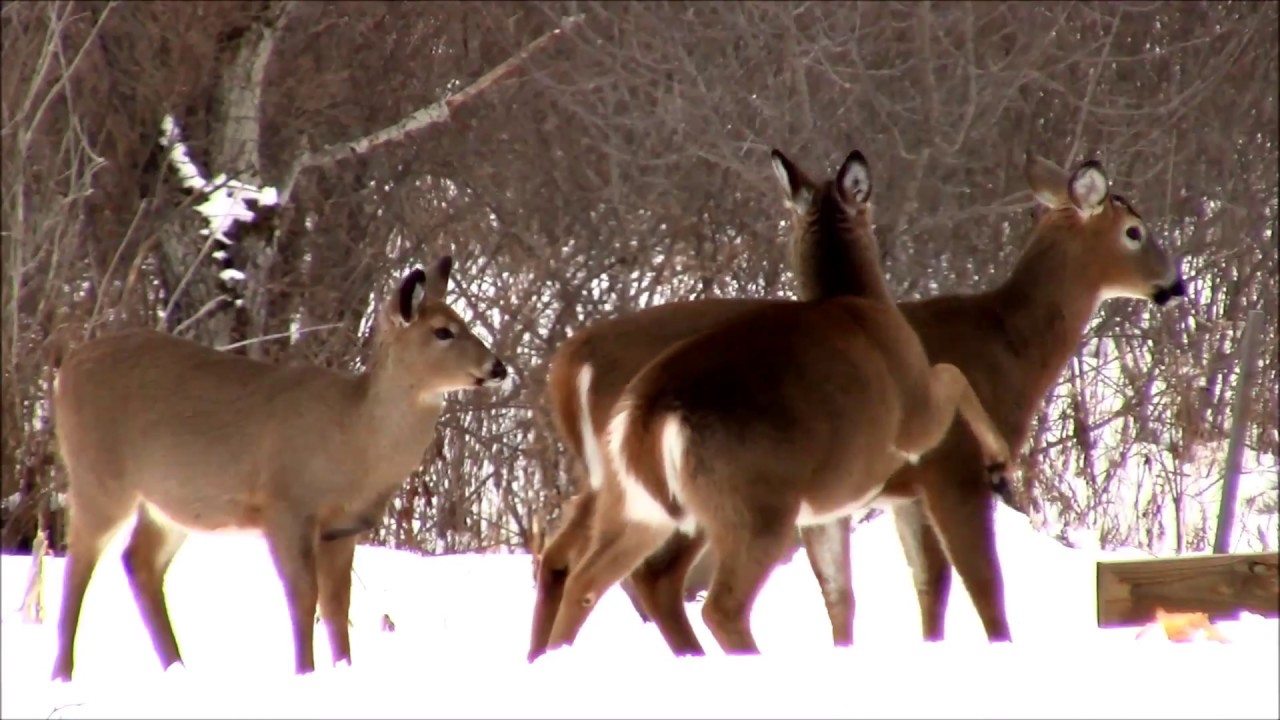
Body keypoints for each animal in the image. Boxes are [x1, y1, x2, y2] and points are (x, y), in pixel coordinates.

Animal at [49, 256, 509, 681]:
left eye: (462, 321)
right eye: (443, 331)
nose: (498, 367)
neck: (354, 439)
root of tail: (65, 368)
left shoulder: (344, 527)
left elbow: (337, 604)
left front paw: (343, 669)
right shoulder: (286, 507)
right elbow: (303, 597)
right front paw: (304, 673)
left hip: (169, 504)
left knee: (138, 562)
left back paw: (177, 668)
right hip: (99, 477)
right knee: (78, 564)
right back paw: (63, 674)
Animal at [529, 150, 1186, 660]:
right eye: (1134, 230)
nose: (1175, 284)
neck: (1011, 347)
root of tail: (567, 365)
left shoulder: (900, 492)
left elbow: (920, 586)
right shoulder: (949, 469)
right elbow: (982, 580)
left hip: (620, 487)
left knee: (572, 558)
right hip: (726, 501)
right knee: (661, 581)